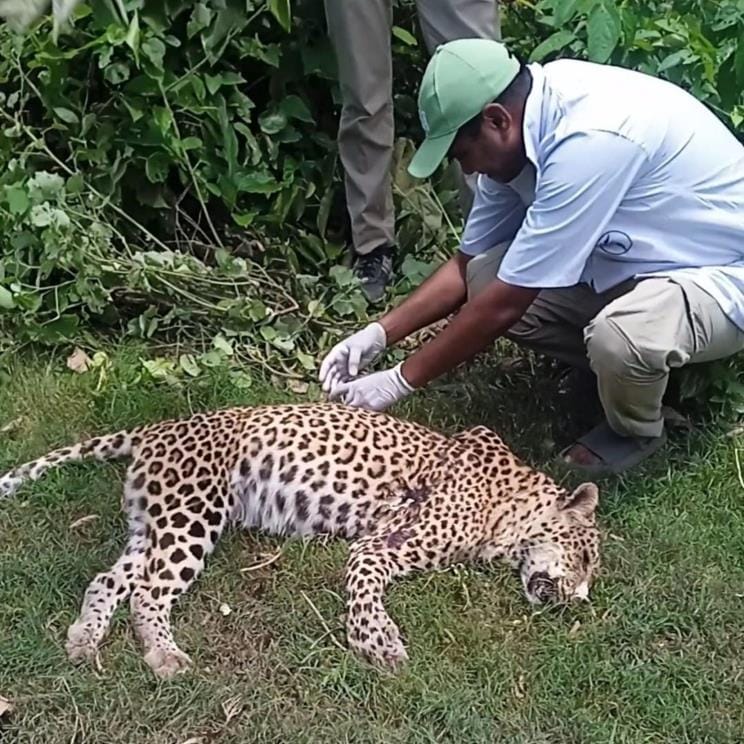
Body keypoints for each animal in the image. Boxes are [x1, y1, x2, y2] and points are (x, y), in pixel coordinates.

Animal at [0, 403, 601, 678]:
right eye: (585, 557)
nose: (578, 600)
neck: (513, 501)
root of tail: (161, 428)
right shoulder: (379, 545)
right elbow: (364, 588)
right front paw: (378, 644)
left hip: (152, 524)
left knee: (110, 579)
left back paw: (84, 639)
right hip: (193, 516)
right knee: (149, 591)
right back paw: (164, 654)